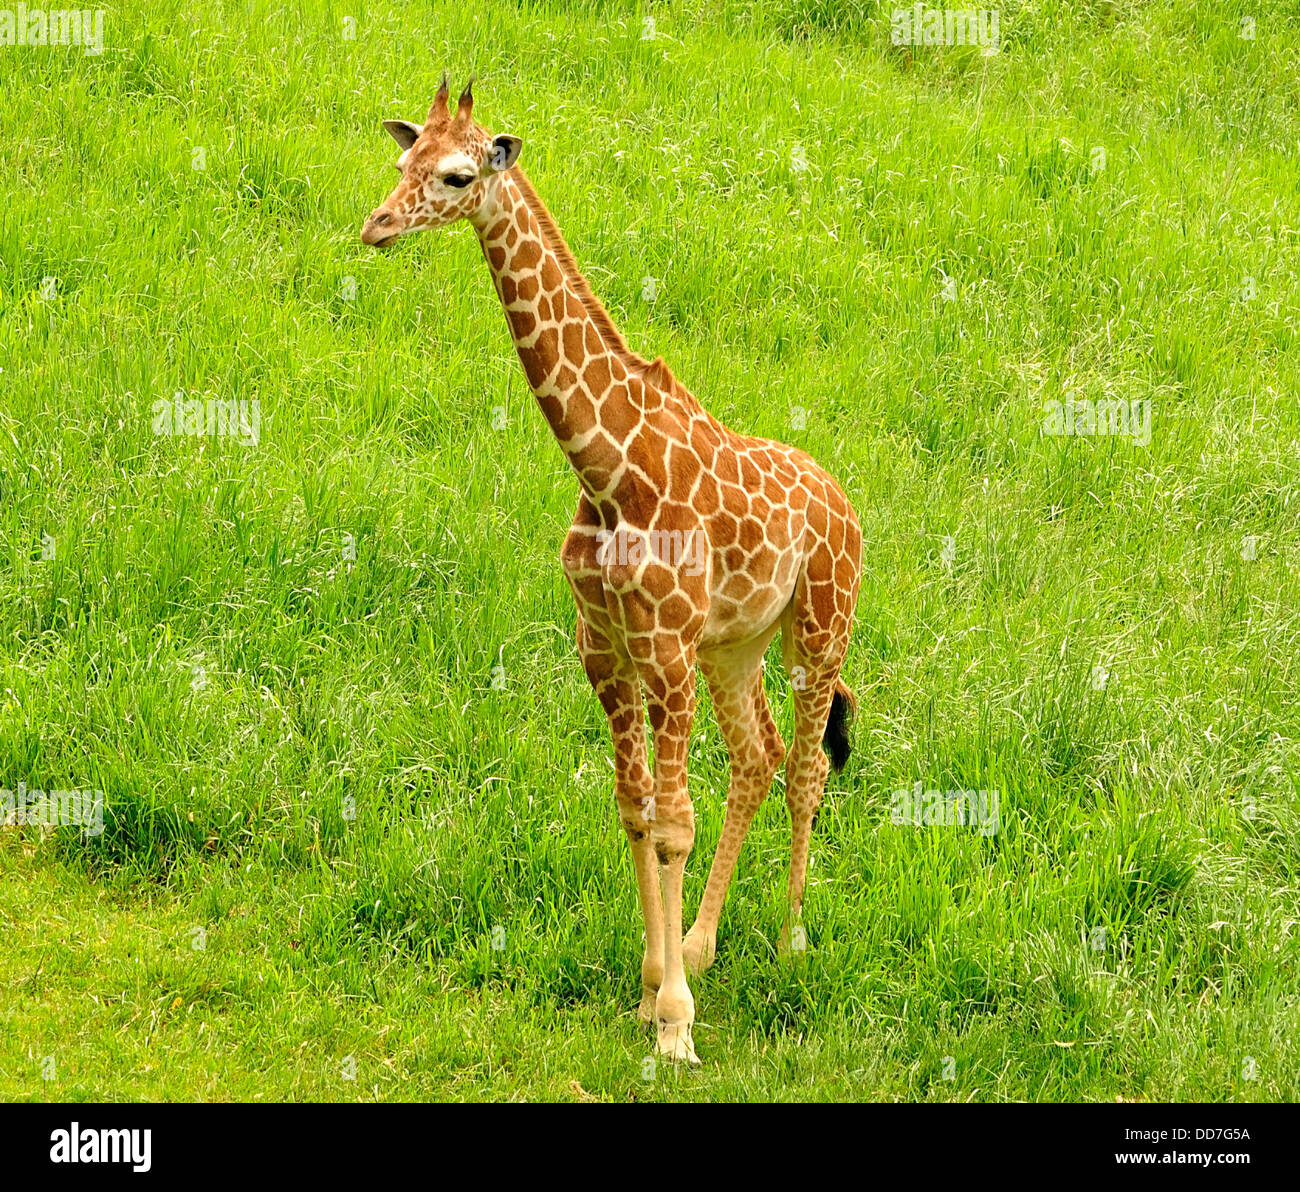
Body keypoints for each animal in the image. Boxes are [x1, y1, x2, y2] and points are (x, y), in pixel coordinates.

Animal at [361, 78, 862, 1064]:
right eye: (402, 157)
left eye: (457, 173)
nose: (377, 226)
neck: (605, 468)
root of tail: (851, 510)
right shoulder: (606, 645)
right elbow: (635, 809)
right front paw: (651, 988)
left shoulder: (662, 646)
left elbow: (673, 820)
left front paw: (674, 1029)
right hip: (735, 647)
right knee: (759, 755)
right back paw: (704, 946)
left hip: (819, 628)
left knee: (805, 769)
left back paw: (792, 939)